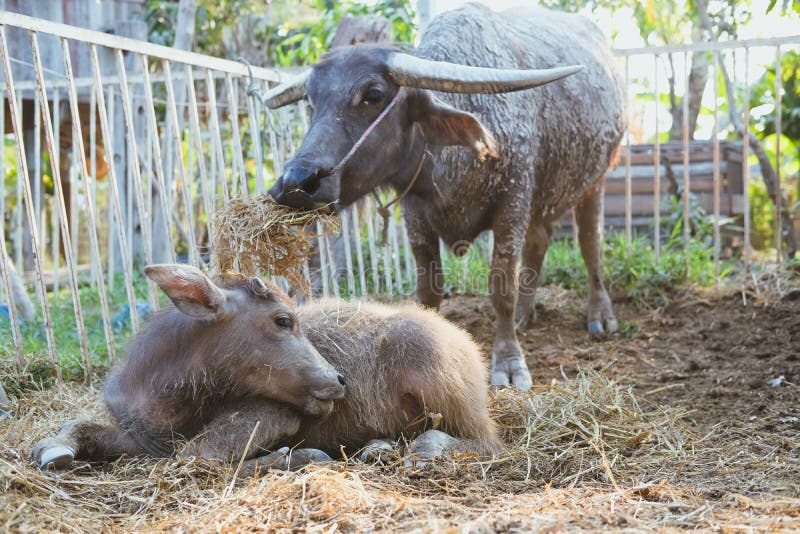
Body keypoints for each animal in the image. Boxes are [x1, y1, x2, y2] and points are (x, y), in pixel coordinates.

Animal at [32, 264, 501, 471]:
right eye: (282, 320)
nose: (338, 379)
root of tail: (464, 343)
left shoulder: (274, 412)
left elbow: (200, 454)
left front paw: (300, 456)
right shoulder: (142, 439)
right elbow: (79, 426)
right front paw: (52, 449)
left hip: (442, 385)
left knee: (487, 441)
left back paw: (426, 448)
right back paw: (379, 448)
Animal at [266, 3, 626, 391]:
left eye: (373, 94)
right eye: (310, 100)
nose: (296, 182)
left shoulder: (513, 202)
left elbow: (502, 286)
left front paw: (509, 362)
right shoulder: (415, 214)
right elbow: (430, 289)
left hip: (596, 180)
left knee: (590, 243)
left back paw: (600, 314)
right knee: (540, 239)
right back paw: (526, 313)